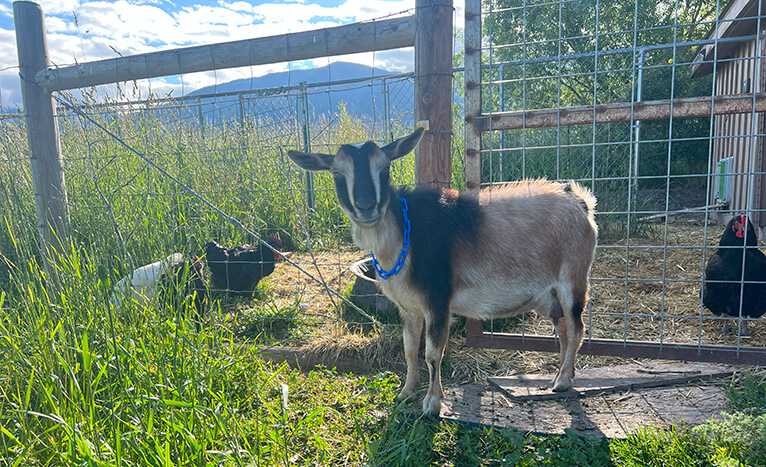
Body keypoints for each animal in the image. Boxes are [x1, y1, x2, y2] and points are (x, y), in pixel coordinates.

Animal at [288, 127, 598, 416]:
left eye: (384, 168)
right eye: (337, 173)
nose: (367, 207)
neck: (405, 237)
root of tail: (580, 202)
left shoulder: (438, 300)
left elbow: (433, 353)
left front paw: (432, 404)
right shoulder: (408, 307)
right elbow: (409, 348)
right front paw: (406, 392)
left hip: (572, 279)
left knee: (577, 327)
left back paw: (562, 383)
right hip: (547, 297)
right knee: (564, 329)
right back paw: (562, 375)